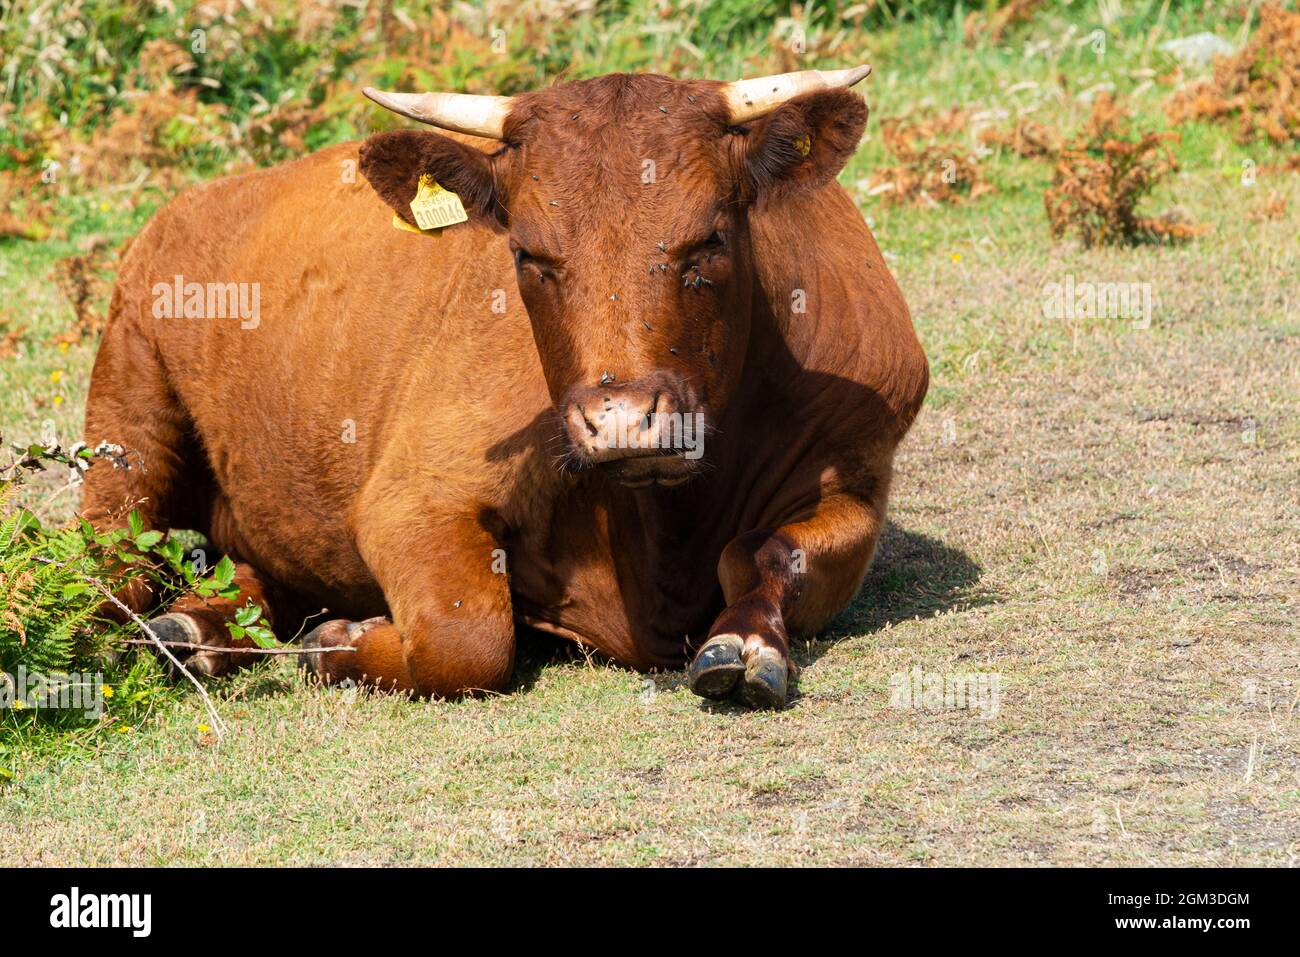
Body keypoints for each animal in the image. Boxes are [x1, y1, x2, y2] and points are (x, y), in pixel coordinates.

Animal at [81, 67, 928, 709]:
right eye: (527, 254)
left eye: (711, 237)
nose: (623, 423)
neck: (661, 531)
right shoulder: (413, 497)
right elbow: (470, 639)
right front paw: (340, 642)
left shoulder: (856, 478)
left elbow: (770, 552)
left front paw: (745, 642)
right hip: (125, 423)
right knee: (115, 572)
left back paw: (199, 629)